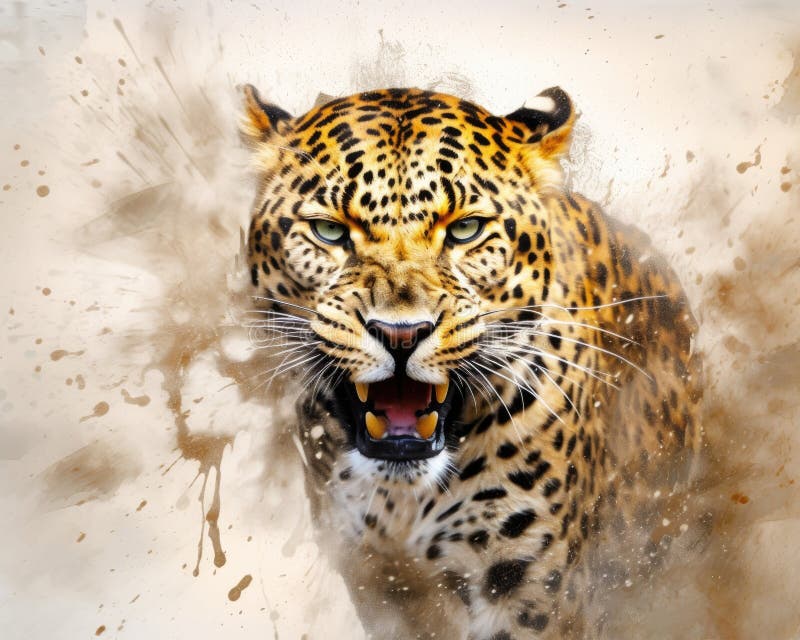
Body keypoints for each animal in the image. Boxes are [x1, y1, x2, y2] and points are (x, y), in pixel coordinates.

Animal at [241, 84, 703, 639]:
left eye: (466, 230)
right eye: (330, 232)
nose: (401, 334)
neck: (402, 501)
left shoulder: (532, 588)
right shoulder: (375, 579)